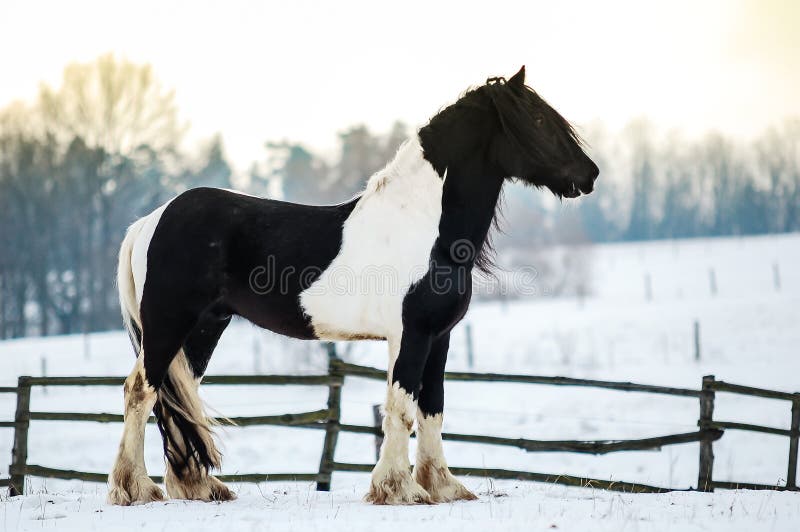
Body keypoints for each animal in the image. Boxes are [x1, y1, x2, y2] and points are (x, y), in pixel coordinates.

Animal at [107, 66, 598, 506]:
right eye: (538, 120)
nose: (589, 175)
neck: (423, 223)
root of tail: (151, 220)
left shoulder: (440, 336)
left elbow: (432, 409)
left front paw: (443, 487)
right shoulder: (410, 335)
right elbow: (401, 408)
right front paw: (399, 490)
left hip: (205, 328)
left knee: (177, 398)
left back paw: (199, 488)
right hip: (168, 323)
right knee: (141, 392)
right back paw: (135, 490)